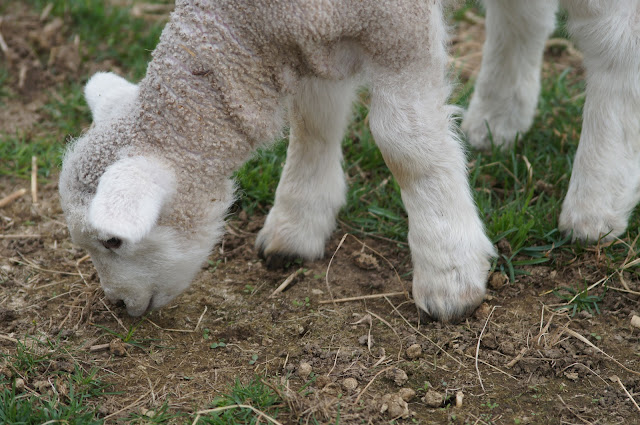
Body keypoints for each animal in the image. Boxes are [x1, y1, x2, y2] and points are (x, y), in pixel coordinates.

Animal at [59, 0, 496, 322]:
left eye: (113, 241)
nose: (118, 303)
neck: (255, 17)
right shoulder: (311, 36)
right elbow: (314, 121)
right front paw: (296, 226)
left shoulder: (398, 24)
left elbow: (405, 144)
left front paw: (449, 276)